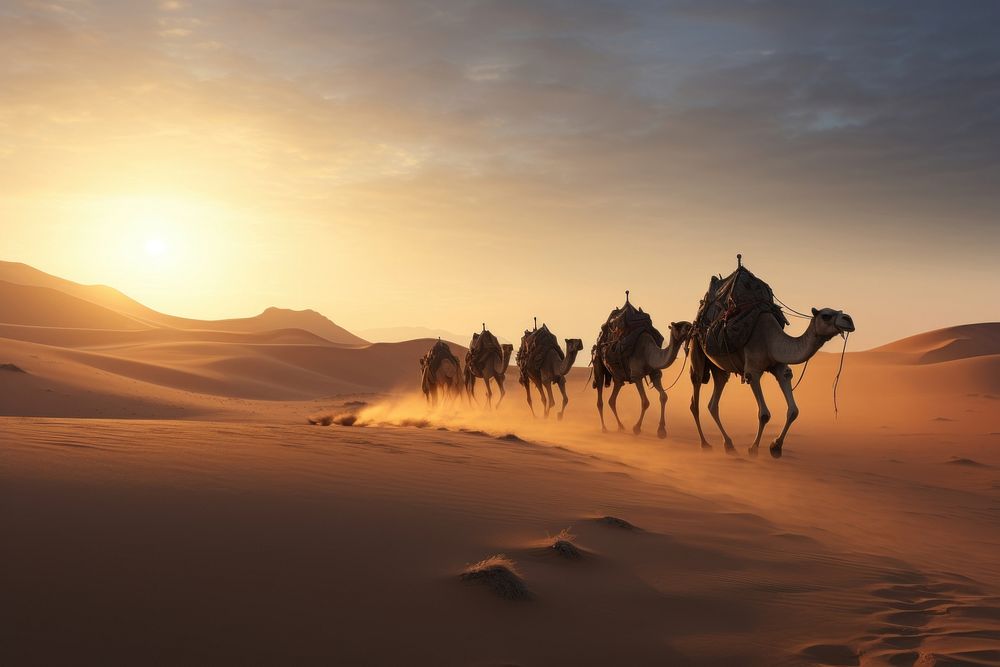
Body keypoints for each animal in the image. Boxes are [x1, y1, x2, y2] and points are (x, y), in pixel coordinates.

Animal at [690, 307, 855, 458]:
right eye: (826, 315)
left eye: (840, 311)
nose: (849, 320)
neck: (770, 340)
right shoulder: (753, 371)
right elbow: (764, 414)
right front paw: (753, 448)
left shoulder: (780, 367)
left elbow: (793, 411)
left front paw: (776, 446)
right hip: (696, 349)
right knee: (695, 397)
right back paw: (705, 444)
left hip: (718, 368)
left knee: (714, 399)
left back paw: (729, 444)